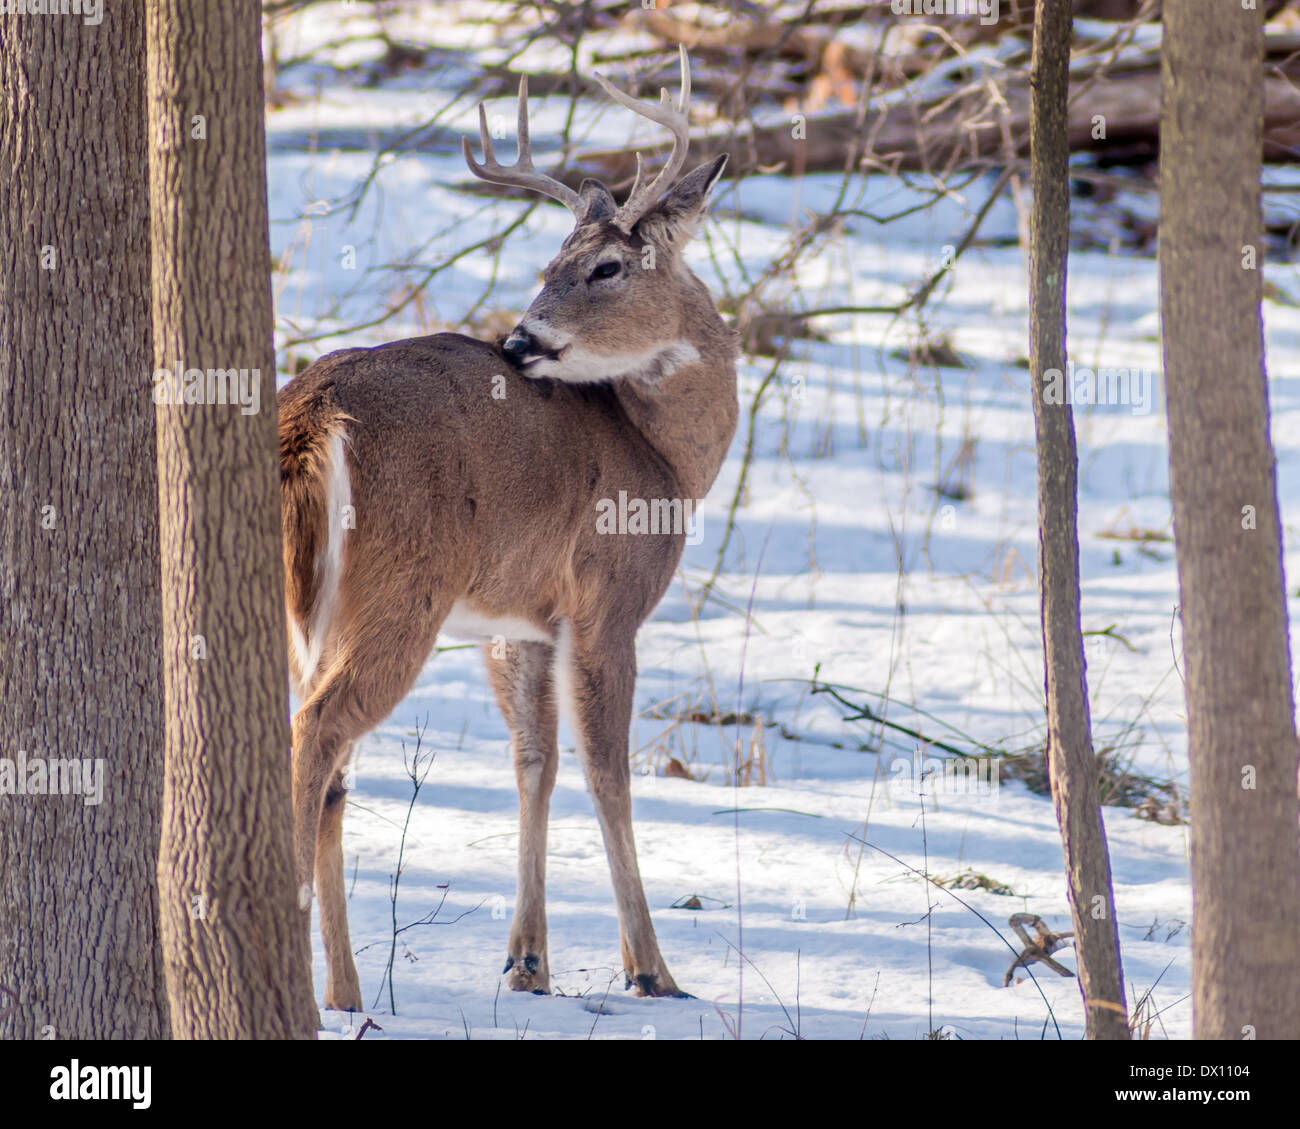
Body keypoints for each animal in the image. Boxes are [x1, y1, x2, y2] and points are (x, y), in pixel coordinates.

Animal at [277, 47, 736, 1012]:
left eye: (604, 266)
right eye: (552, 259)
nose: (519, 339)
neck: (665, 458)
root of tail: (311, 415)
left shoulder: (520, 620)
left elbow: (534, 762)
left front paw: (527, 962)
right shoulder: (608, 597)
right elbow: (608, 772)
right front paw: (653, 969)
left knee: (323, 759)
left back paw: (347, 989)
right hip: (403, 586)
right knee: (316, 733)